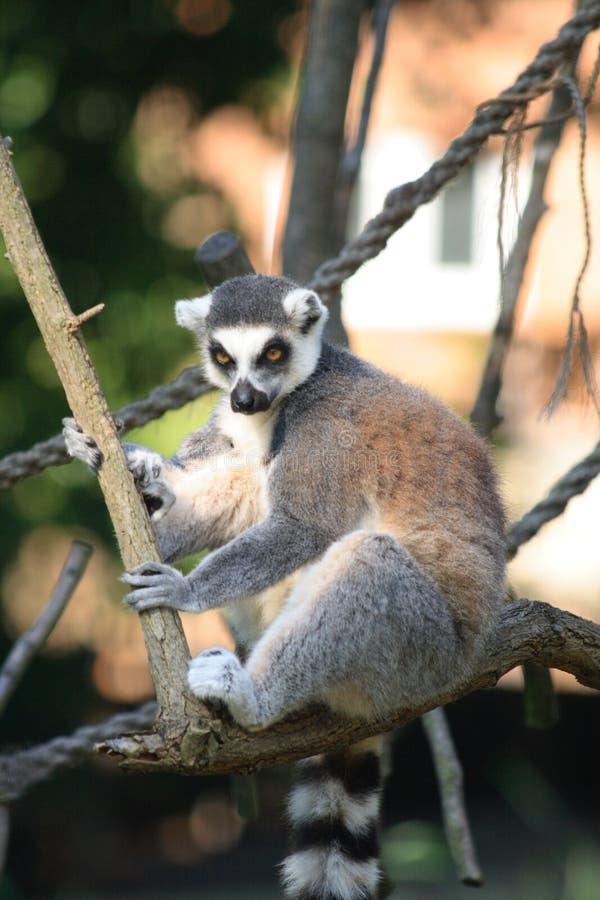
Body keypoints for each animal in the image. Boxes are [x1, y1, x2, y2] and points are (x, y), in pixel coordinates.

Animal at [63, 273, 505, 900]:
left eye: (272, 353)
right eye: (224, 357)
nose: (244, 399)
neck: (292, 394)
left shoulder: (325, 430)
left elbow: (305, 526)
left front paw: (186, 592)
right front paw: (118, 460)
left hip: (420, 654)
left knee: (366, 563)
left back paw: (252, 698)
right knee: (252, 479)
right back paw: (152, 497)